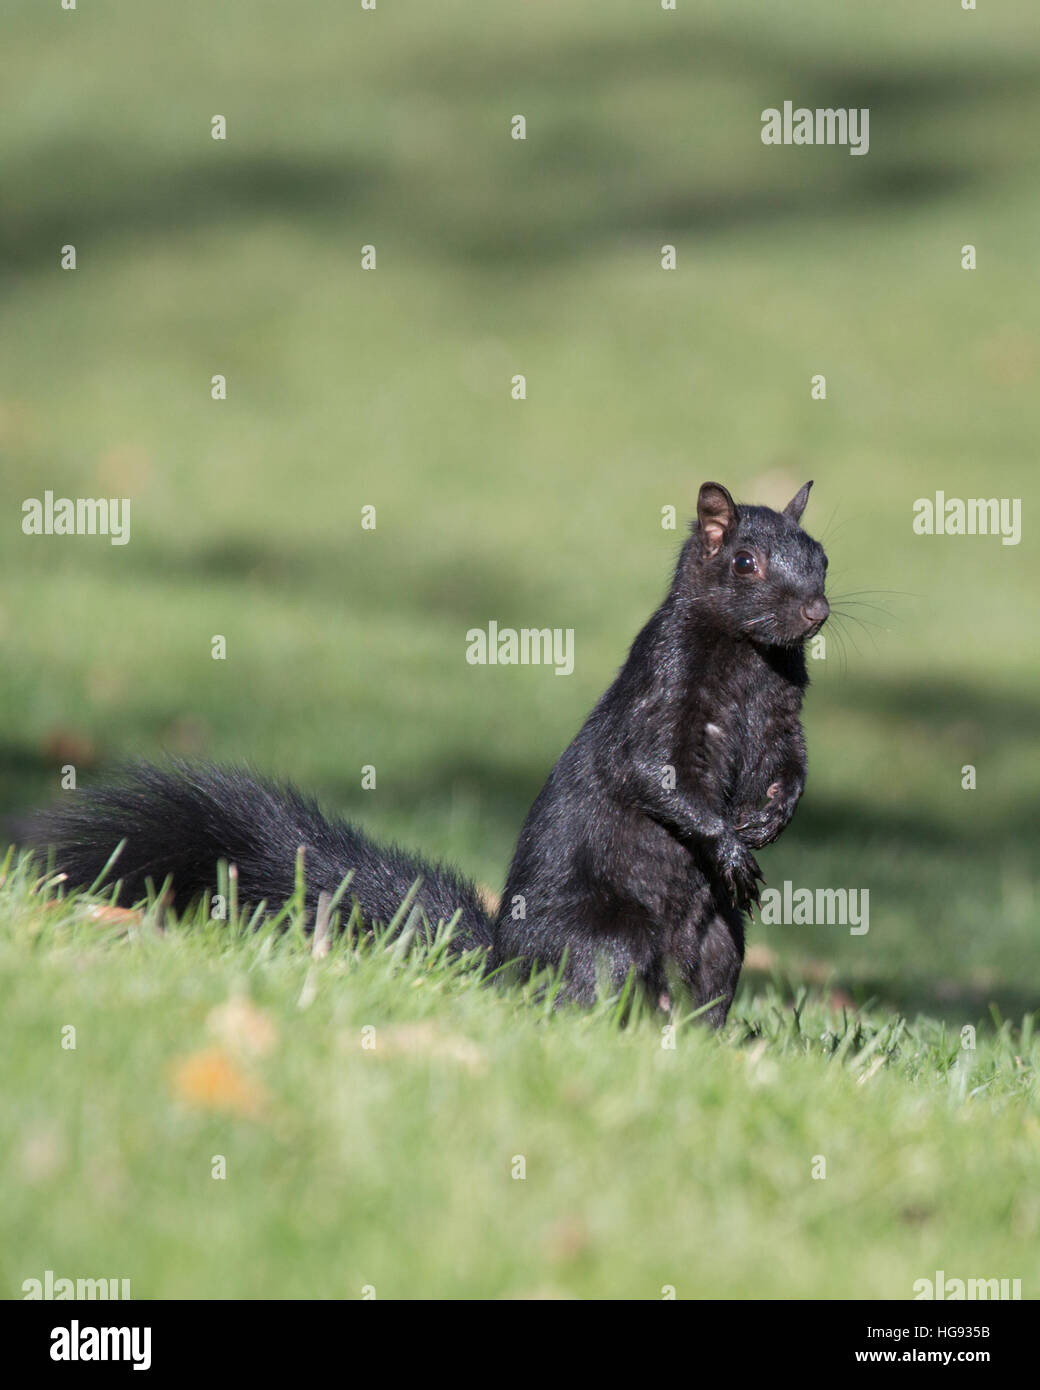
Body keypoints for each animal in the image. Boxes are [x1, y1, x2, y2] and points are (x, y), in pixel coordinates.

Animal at [24, 481, 828, 1026]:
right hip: (608, 941)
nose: (817, 612)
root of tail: (502, 961)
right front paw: (729, 846)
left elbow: (789, 771)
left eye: (821, 556)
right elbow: (658, 777)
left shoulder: (784, 722)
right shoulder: (660, 697)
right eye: (745, 562)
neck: (752, 659)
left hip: (721, 946)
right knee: (591, 987)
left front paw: (771, 822)